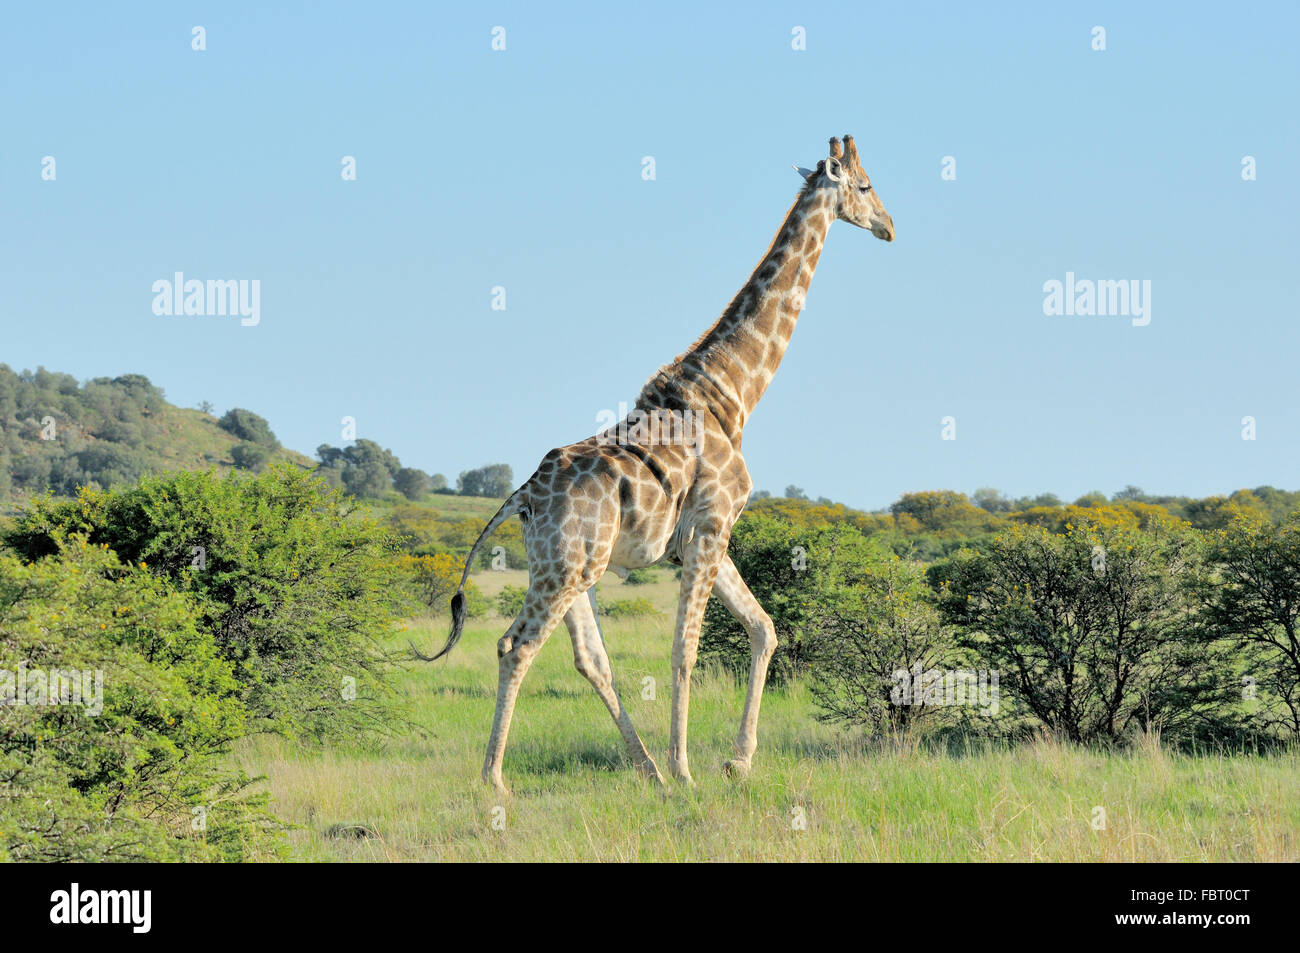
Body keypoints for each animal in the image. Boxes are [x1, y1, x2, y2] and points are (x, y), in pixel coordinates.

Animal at [413, 135, 894, 793]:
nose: (890, 227)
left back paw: (645, 769)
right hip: (566, 569)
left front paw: (737, 762)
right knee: (516, 647)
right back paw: (497, 780)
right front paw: (689, 768)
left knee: (588, 658)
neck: (732, 394)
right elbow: (685, 649)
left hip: (570, 568)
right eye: (866, 186)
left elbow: (763, 627)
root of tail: (523, 496)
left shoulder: (698, 537)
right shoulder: (712, 526)